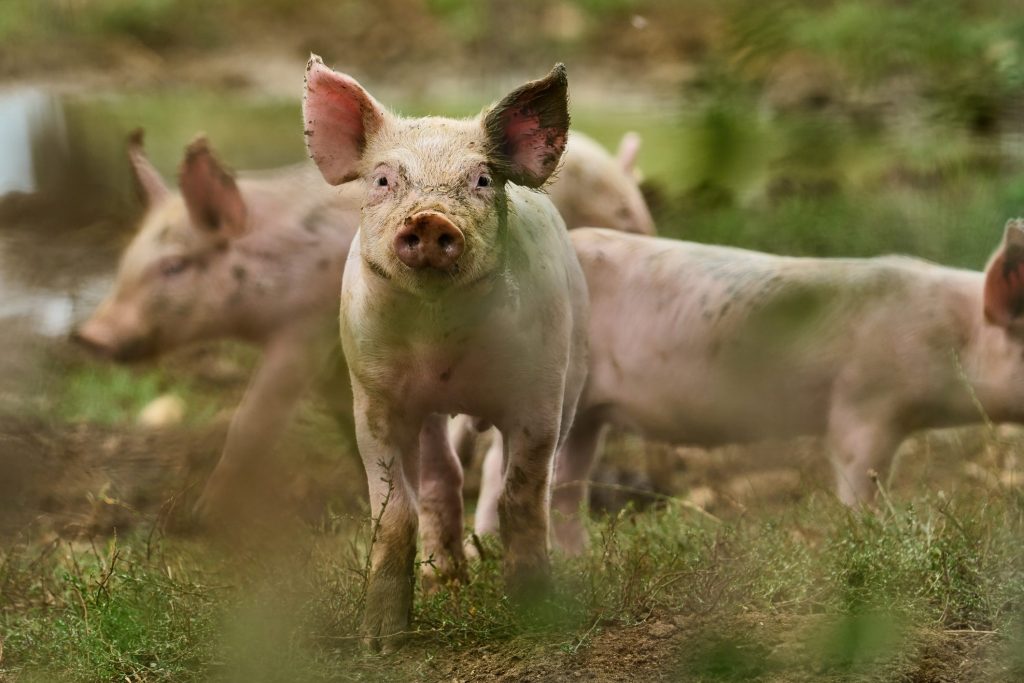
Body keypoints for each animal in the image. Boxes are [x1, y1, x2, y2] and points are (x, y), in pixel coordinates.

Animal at [73, 130, 362, 520]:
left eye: (174, 266)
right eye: (126, 260)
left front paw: (202, 516)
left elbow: (253, 421)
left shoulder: (305, 327)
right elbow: (349, 414)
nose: (89, 335)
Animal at [303, 56, 589, 651]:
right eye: (383, 179)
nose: (430, 219)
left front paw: (535, 616)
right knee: (443, 477)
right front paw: (379, 644)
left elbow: (522, 496)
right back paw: (445, 582)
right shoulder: (373, 397)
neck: (442, 349)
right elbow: (393, 514)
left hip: (575, 376)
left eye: (481, 180)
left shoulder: (540, 391)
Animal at [475, 222, 1024, 554]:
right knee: (500, 467)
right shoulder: (863, 405)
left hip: (587, 413)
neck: (951, 332)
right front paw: (868, 535)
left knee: (565, 480)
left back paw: (577, 561)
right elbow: (858, 477)